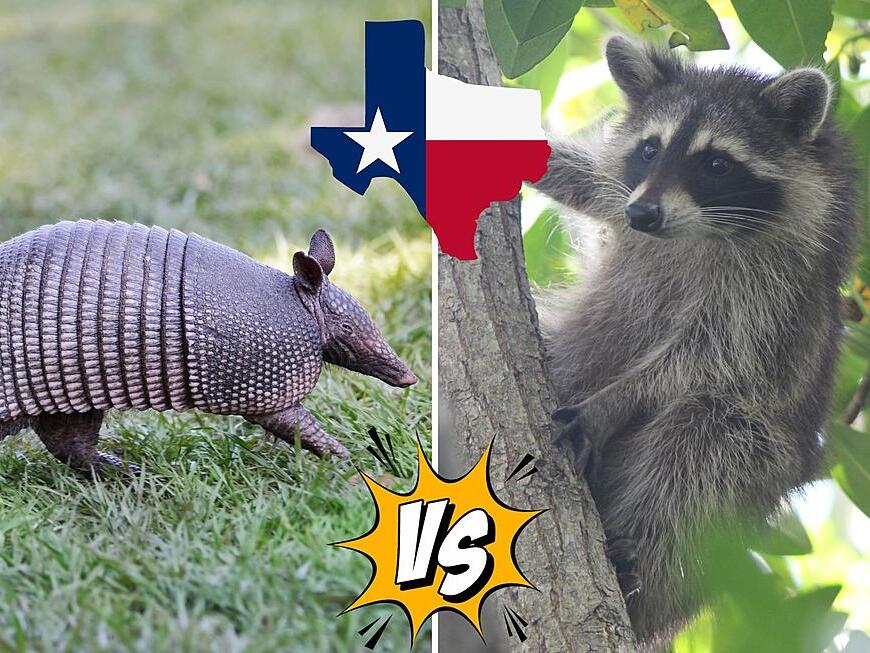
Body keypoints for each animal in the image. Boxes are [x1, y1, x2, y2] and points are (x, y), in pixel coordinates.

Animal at [533, 36, 860, 648]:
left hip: (765, 472)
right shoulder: (623, 200)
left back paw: (638, 568)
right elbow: (588, 181)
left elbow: (708, 363)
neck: (692, 232)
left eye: (716, 163)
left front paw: (614, 401)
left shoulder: (773, 296)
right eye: (650, 149)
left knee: (710, 439)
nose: (644, 213)